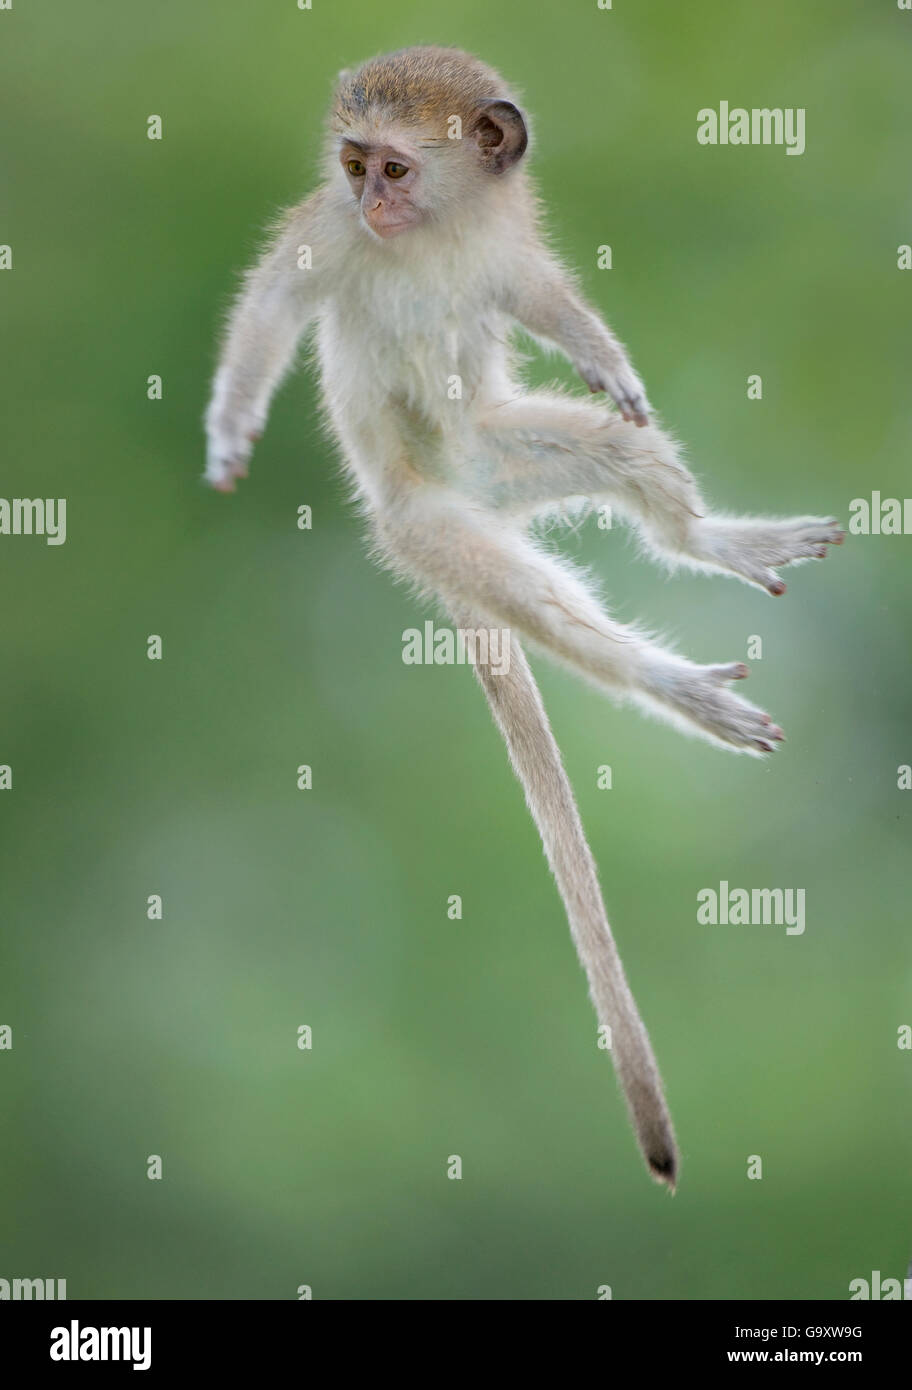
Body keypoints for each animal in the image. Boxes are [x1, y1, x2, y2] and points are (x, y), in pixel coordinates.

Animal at [204, 46, 843, 1189]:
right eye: (355, 165)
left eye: (396, 169)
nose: (370, 202)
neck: (433, 232)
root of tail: (469, 495)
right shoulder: (327, 232)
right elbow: (275, 305)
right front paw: (230, 423)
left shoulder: (504, 247)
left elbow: (546, 300)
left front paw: (604, 356)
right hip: (428, 526)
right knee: (526, 594)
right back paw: (668, 682)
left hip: (508, 449)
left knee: (626, 455)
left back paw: (709, 542)